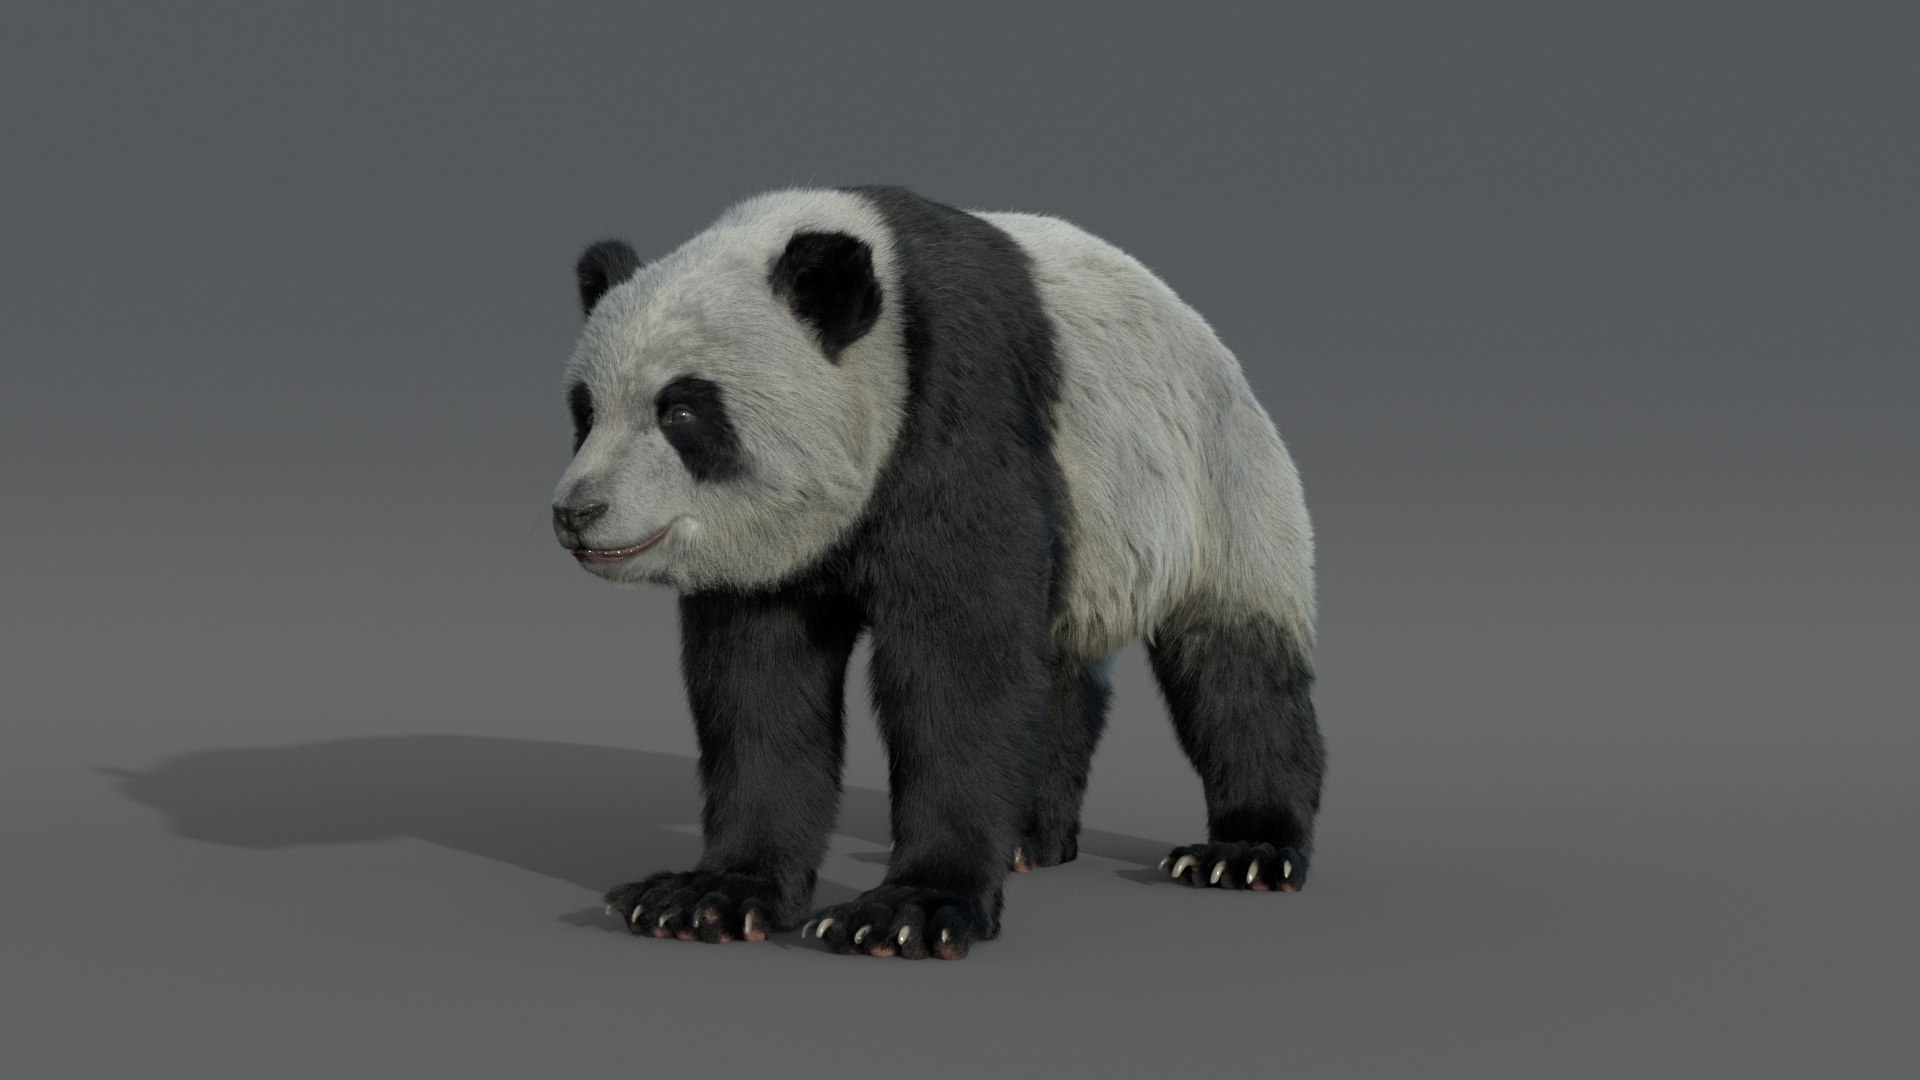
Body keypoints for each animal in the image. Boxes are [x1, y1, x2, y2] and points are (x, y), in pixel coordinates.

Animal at [553, 186, 1325, 959]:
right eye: (583, 412)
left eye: (682, 410)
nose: (576, 512)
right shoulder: (770, 552)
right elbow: (760, 683)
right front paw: (712, 894)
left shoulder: (958, 404)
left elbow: (958, 665)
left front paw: (911, 910)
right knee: (1060, 667)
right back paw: (1029, 839)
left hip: (1213, 481)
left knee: (1235, 664)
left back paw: (1246, 850)